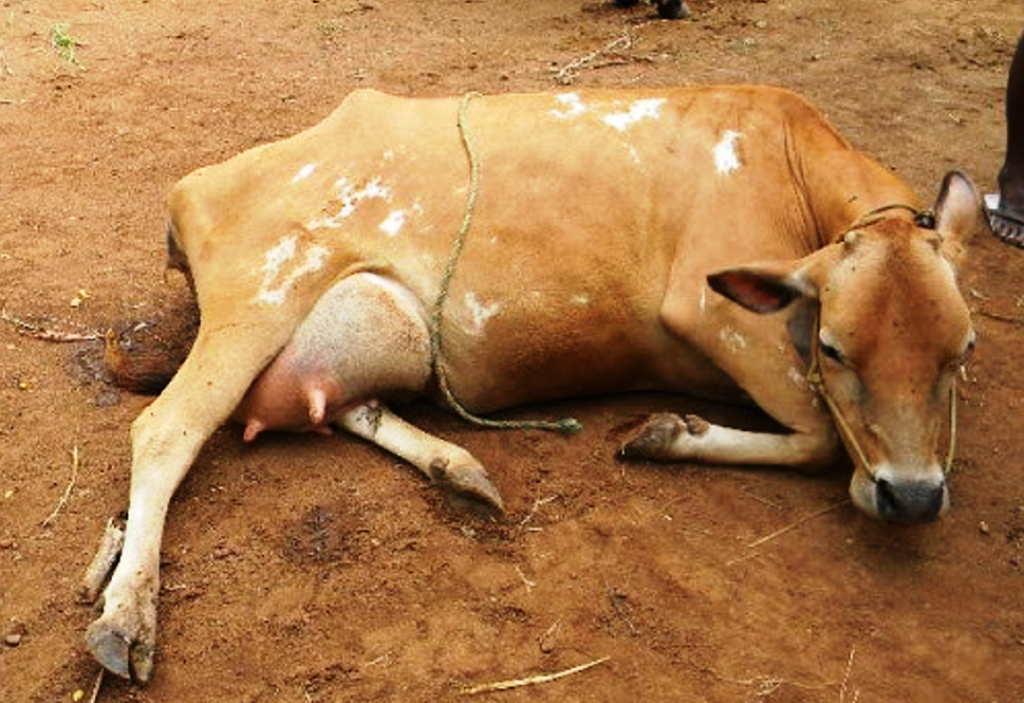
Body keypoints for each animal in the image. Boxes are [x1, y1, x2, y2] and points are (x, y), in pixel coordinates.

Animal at [82, 86, 985, 681]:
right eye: (834, 346)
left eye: (964, 348)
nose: (913, 496)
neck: (791, 163)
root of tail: (199, 184)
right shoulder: (710, 309)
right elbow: (824, 435)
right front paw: (667, 431)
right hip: (259, 295)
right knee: (165, 429)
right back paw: (124, 615)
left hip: (380, 333)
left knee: (339, 406)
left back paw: (460, 468)